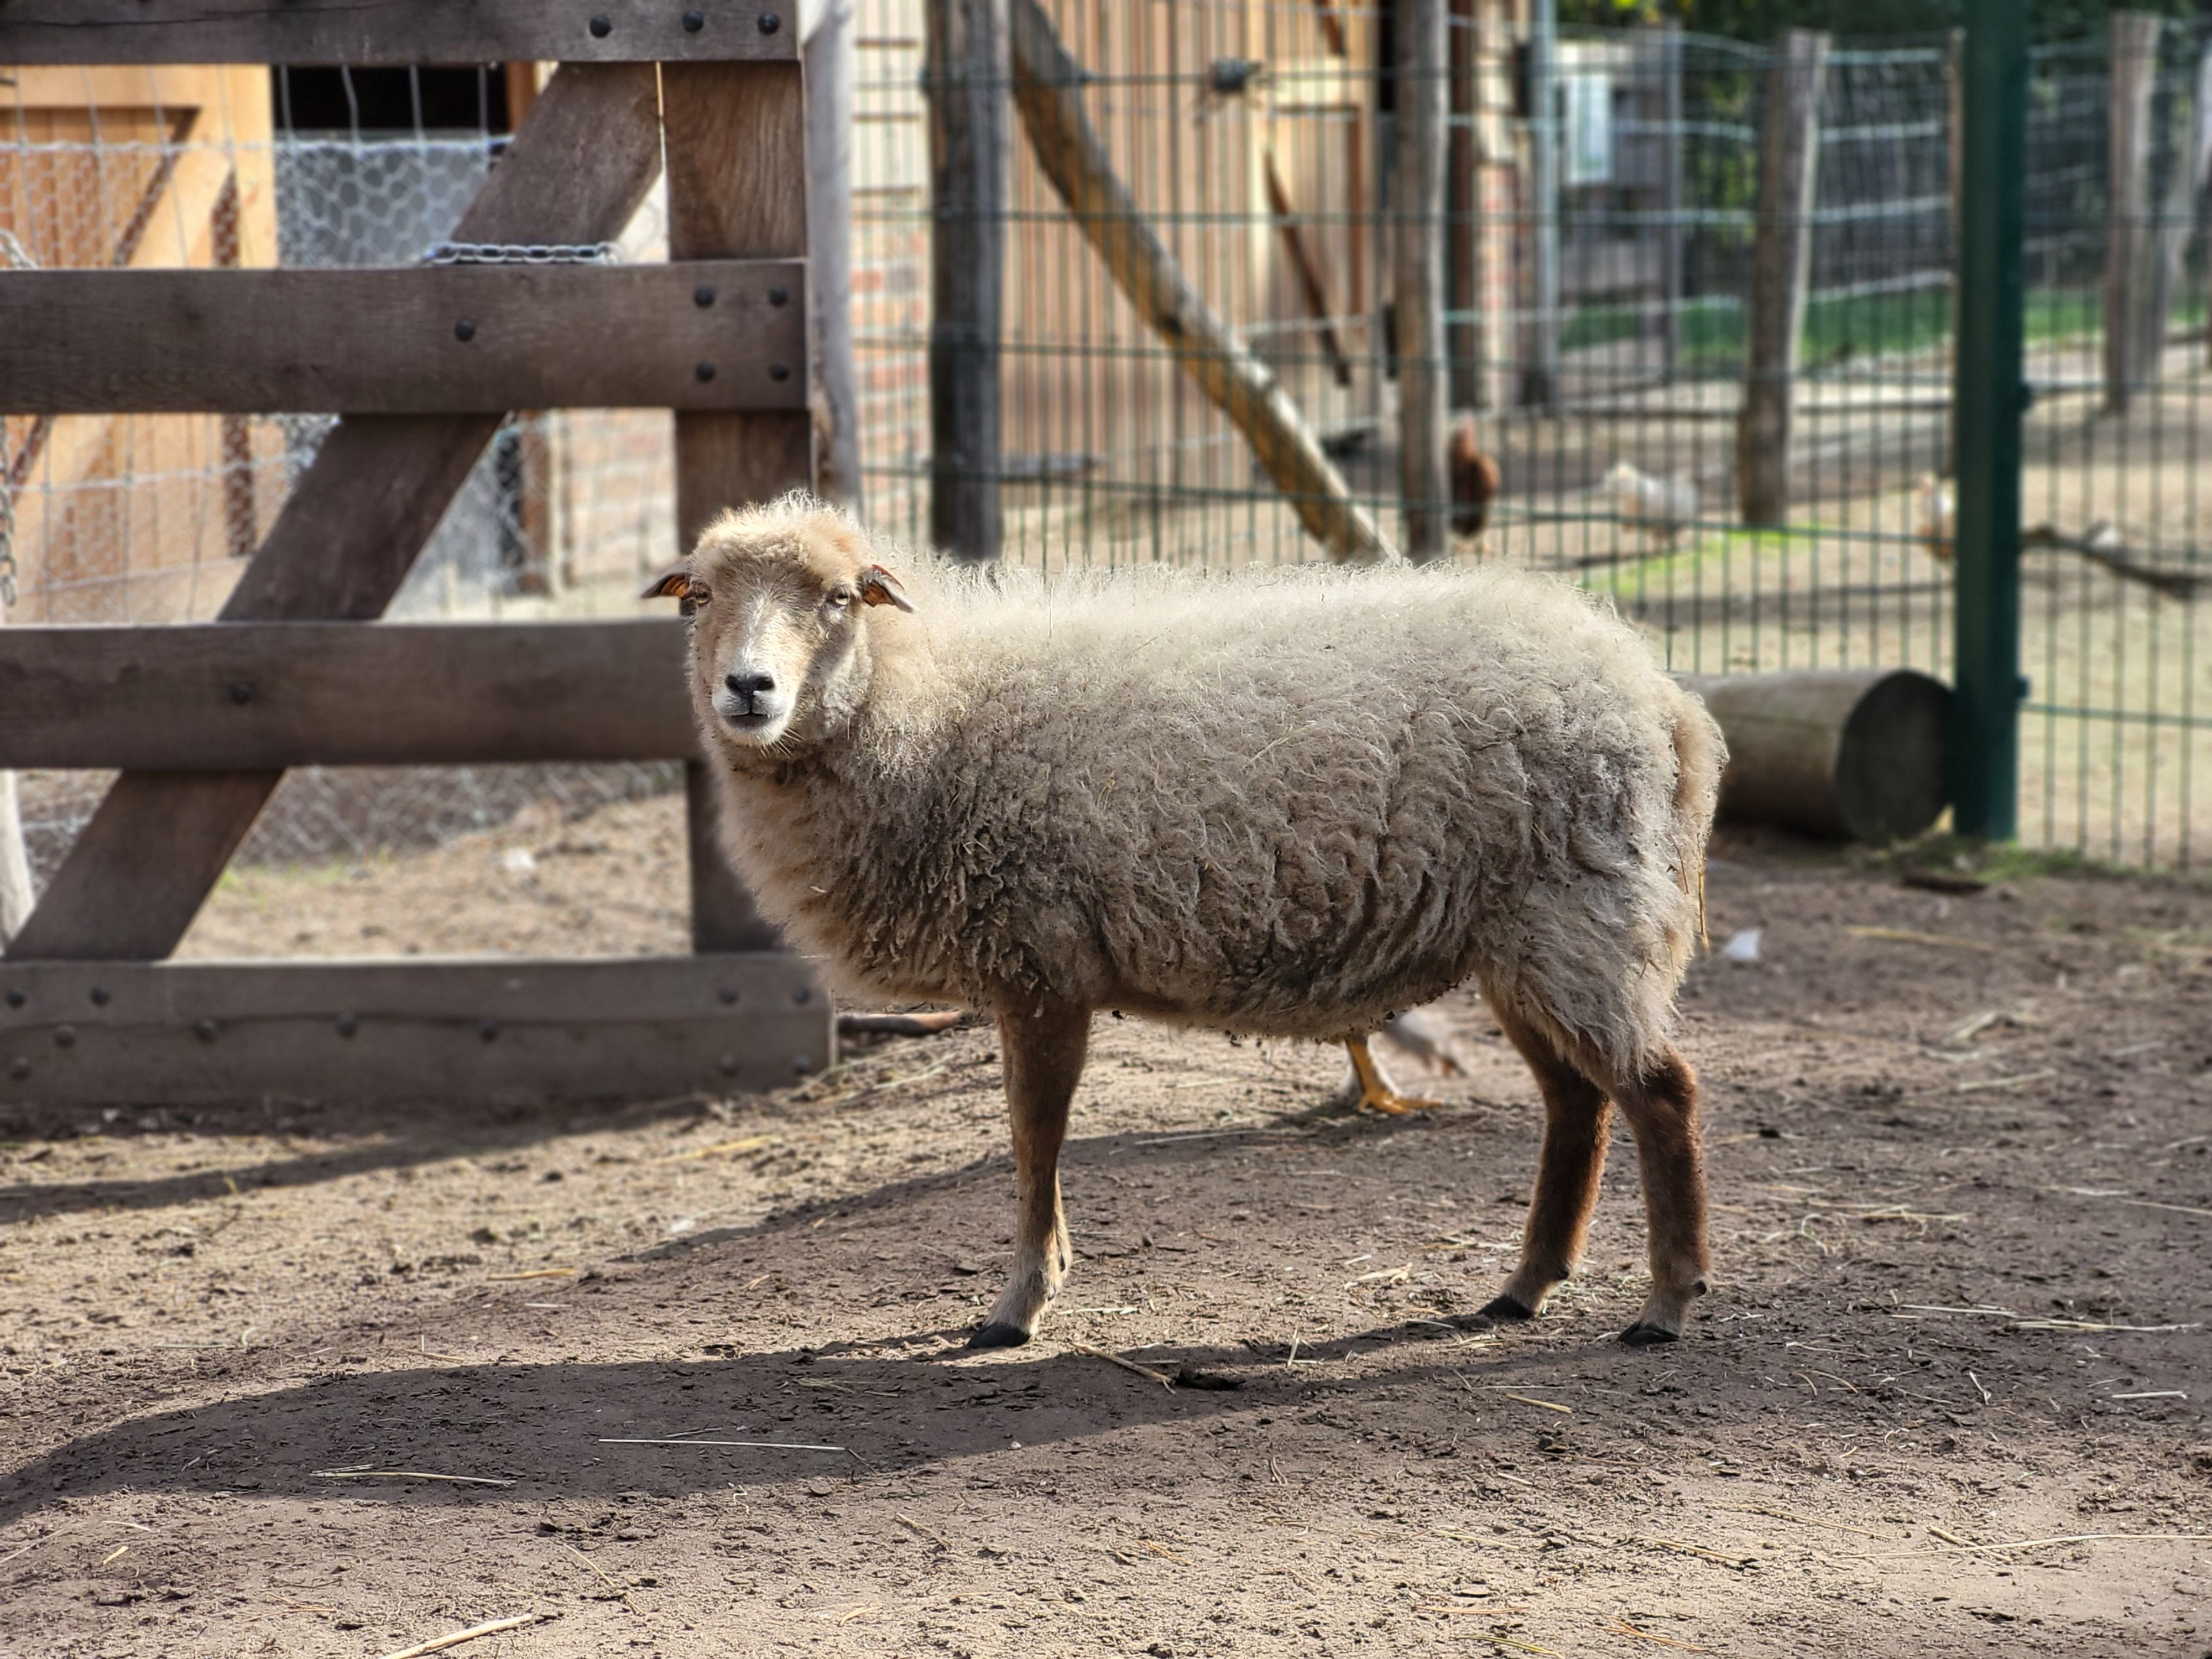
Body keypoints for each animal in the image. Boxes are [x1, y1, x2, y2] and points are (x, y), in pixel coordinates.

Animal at [649, 495, 1727, 1349]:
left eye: (839, 597)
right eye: (697, 597)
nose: (748, 689)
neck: (931, 707)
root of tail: (1660, 696)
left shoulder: (1042, 963)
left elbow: (1035, 1135)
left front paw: (1020, 1304)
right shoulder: (1034, 971)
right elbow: (1034, 1136)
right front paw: (1042, 1281)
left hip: (1581, 917)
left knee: (1660, 1092)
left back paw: (1666, 1303)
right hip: (1523, 942)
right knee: (1577, 1103)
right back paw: (1525, 1288)